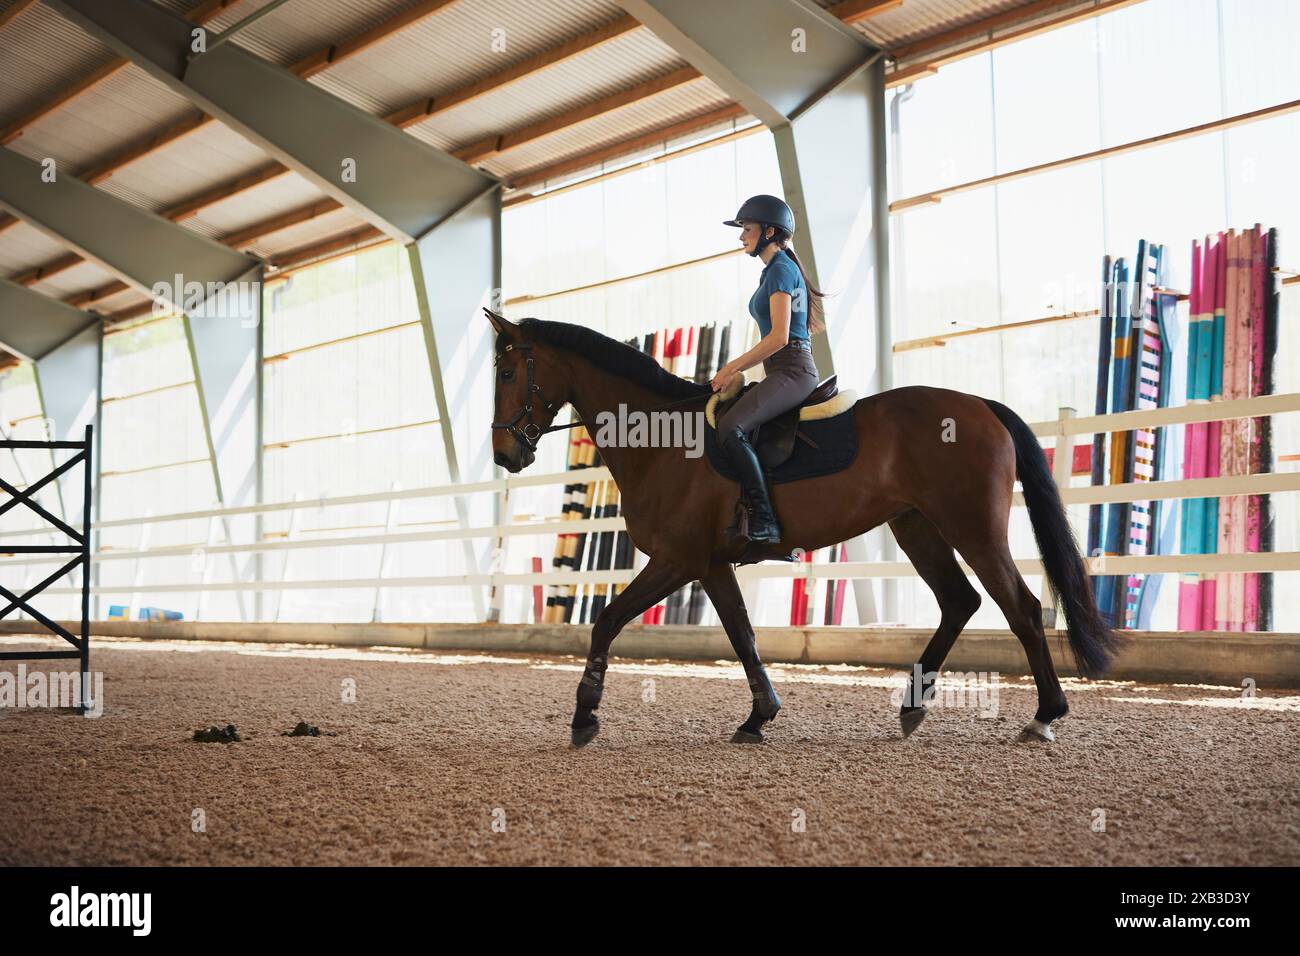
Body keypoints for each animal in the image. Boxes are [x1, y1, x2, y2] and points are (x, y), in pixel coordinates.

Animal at [485, 310, 1125, 748]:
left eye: (511, 370)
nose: (504, 455)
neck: (666, 440)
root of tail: (980, 405)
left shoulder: (677, 560)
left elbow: (608, 621)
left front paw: (584, 715)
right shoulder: (710, 565)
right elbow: (742, 636)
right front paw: (758, 717)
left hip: (973, 529)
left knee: (1021, 608)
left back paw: (1044, 716)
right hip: (916, 527)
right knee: (959, 601)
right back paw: (912, 706)